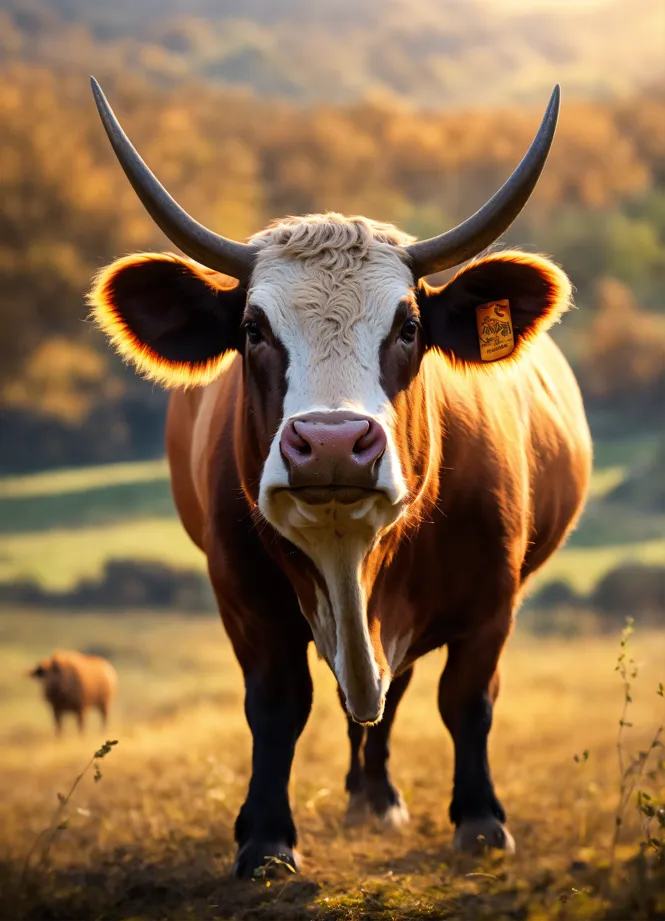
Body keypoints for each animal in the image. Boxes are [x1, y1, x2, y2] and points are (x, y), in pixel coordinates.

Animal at [87, 78, 591, 877]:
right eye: (253, 329)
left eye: (409, 327)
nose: (329, 444)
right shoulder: (243, 597)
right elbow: (276, 704)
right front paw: (265, 838)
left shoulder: (493, 599)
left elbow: (466, 699)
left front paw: (480, 820)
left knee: (398, 686)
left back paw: (376, 796)